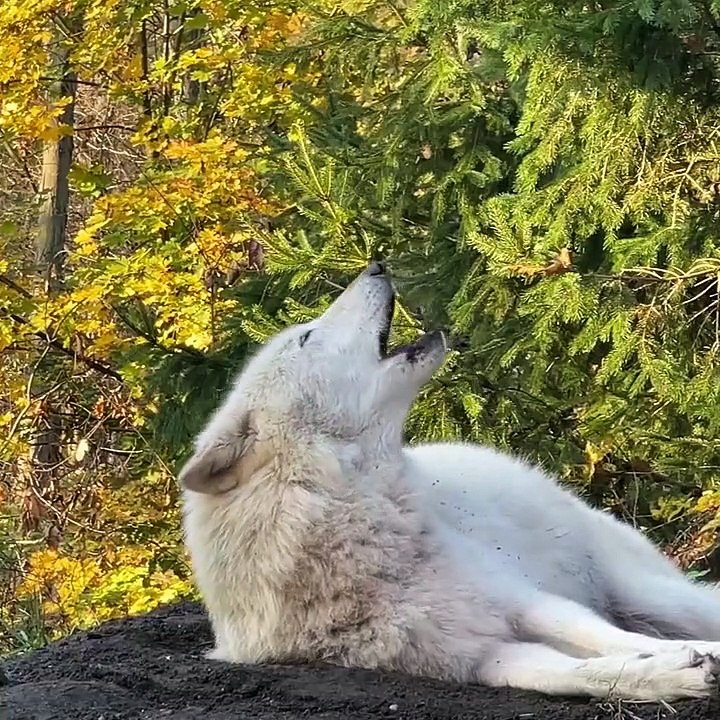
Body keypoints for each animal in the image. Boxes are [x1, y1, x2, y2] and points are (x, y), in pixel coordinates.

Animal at [179, 262, 720, 702]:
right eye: (307, 338)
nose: (376, 264)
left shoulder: (523, 599)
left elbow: (611, 639)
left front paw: (691, 656)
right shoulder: (480, 657)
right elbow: (583, 674)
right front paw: (670, 674)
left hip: (645, 592)